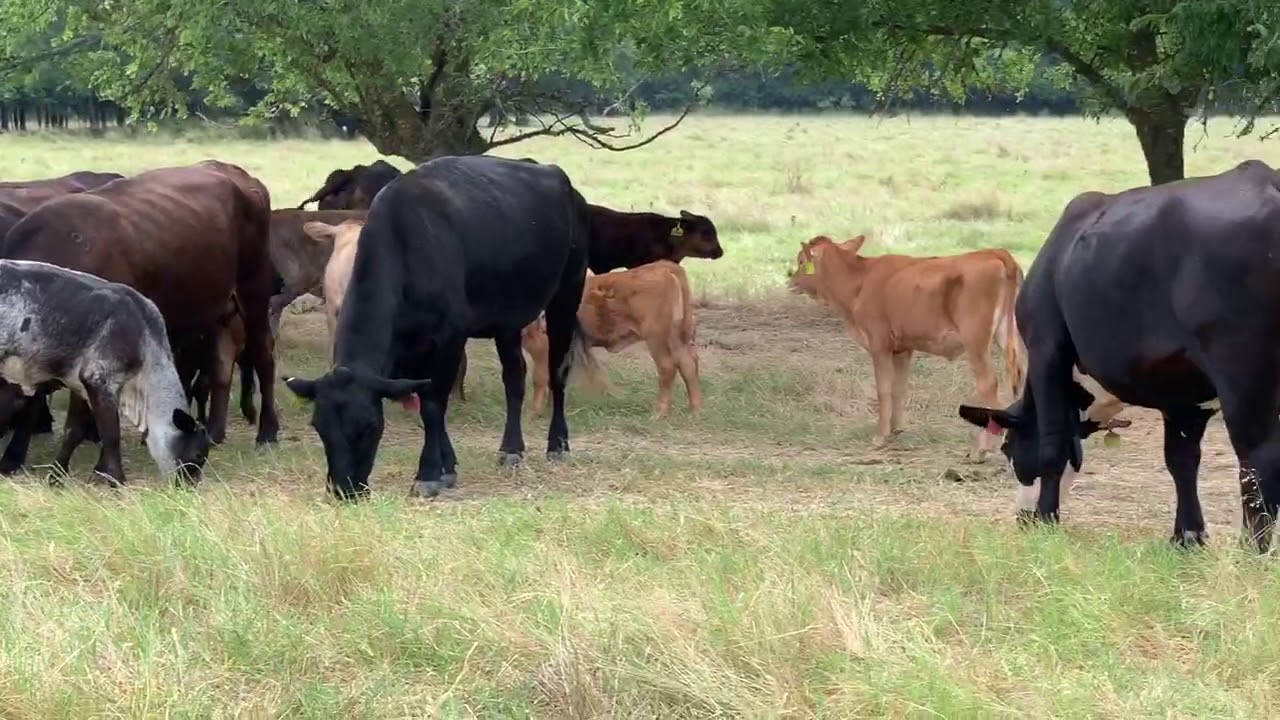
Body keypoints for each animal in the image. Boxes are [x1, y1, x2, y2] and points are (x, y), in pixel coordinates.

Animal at [0, 259, 212, 486]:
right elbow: (111, 437)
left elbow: (72, 433)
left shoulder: (78, 385)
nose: (190, 486)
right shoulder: (99, 381)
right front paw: (118, 481)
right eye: (198, 454)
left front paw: (56, 476)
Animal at [283, 155, 604, 501]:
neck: (407, 244)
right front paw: (447, 465)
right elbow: (428, 401)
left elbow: (434, 404)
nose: (345, 489)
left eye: (369, 426)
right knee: (514, 377)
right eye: (320, 427)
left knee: (558, 371)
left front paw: (428, 474)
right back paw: (511, 448)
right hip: (506, 320)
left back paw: (557, 444)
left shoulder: (449, 337)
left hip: (566, 296)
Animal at [524, 260, 702, 418]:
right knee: (687, 364)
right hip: (675, 337)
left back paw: (660, 413)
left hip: (656, 337)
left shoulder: (539, 343)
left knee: (668, 367)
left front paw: (534, 412)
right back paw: (695, 410)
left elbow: (540, 377)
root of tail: (661, 267)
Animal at [789, 235, 1025, 460]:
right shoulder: (903, 349)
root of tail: (996, 253)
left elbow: (883, 390)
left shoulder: (879, 344)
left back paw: (981, 449)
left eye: (801, 260)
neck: (859, 282)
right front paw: (896, 430)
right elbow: (898, 388)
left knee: (988, 386)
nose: (790, 281)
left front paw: (880, 436)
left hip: (976, 341)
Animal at [957, 159, 1280, 551]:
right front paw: (1186, 537)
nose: (1023, 518)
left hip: (1242, 372)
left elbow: (1052, 445)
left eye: (1009, 447)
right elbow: (1182, 460)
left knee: (1259, 460)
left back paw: (1251, 550)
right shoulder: (1181, 391)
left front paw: (1048, 520)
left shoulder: (1047, 350)